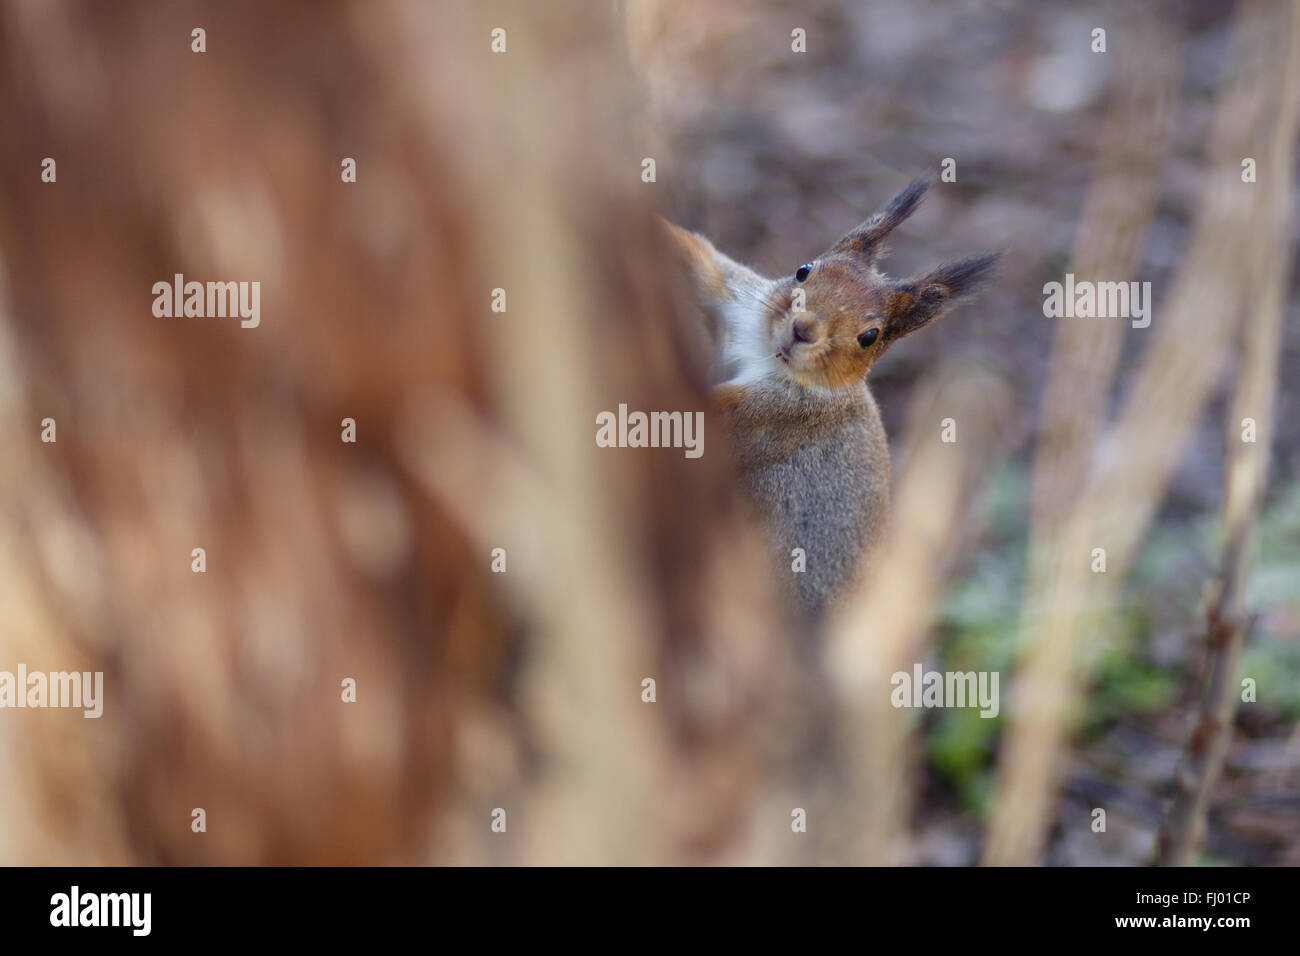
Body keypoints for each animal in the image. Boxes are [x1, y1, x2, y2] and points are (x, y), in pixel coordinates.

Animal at [666, 177, 997, 622]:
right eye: (804, 270)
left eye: (869, 337)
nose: (803, 328)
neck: (770, 353)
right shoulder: (741, 303)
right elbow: (705, 262)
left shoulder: (776, 418)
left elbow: (705, 420)